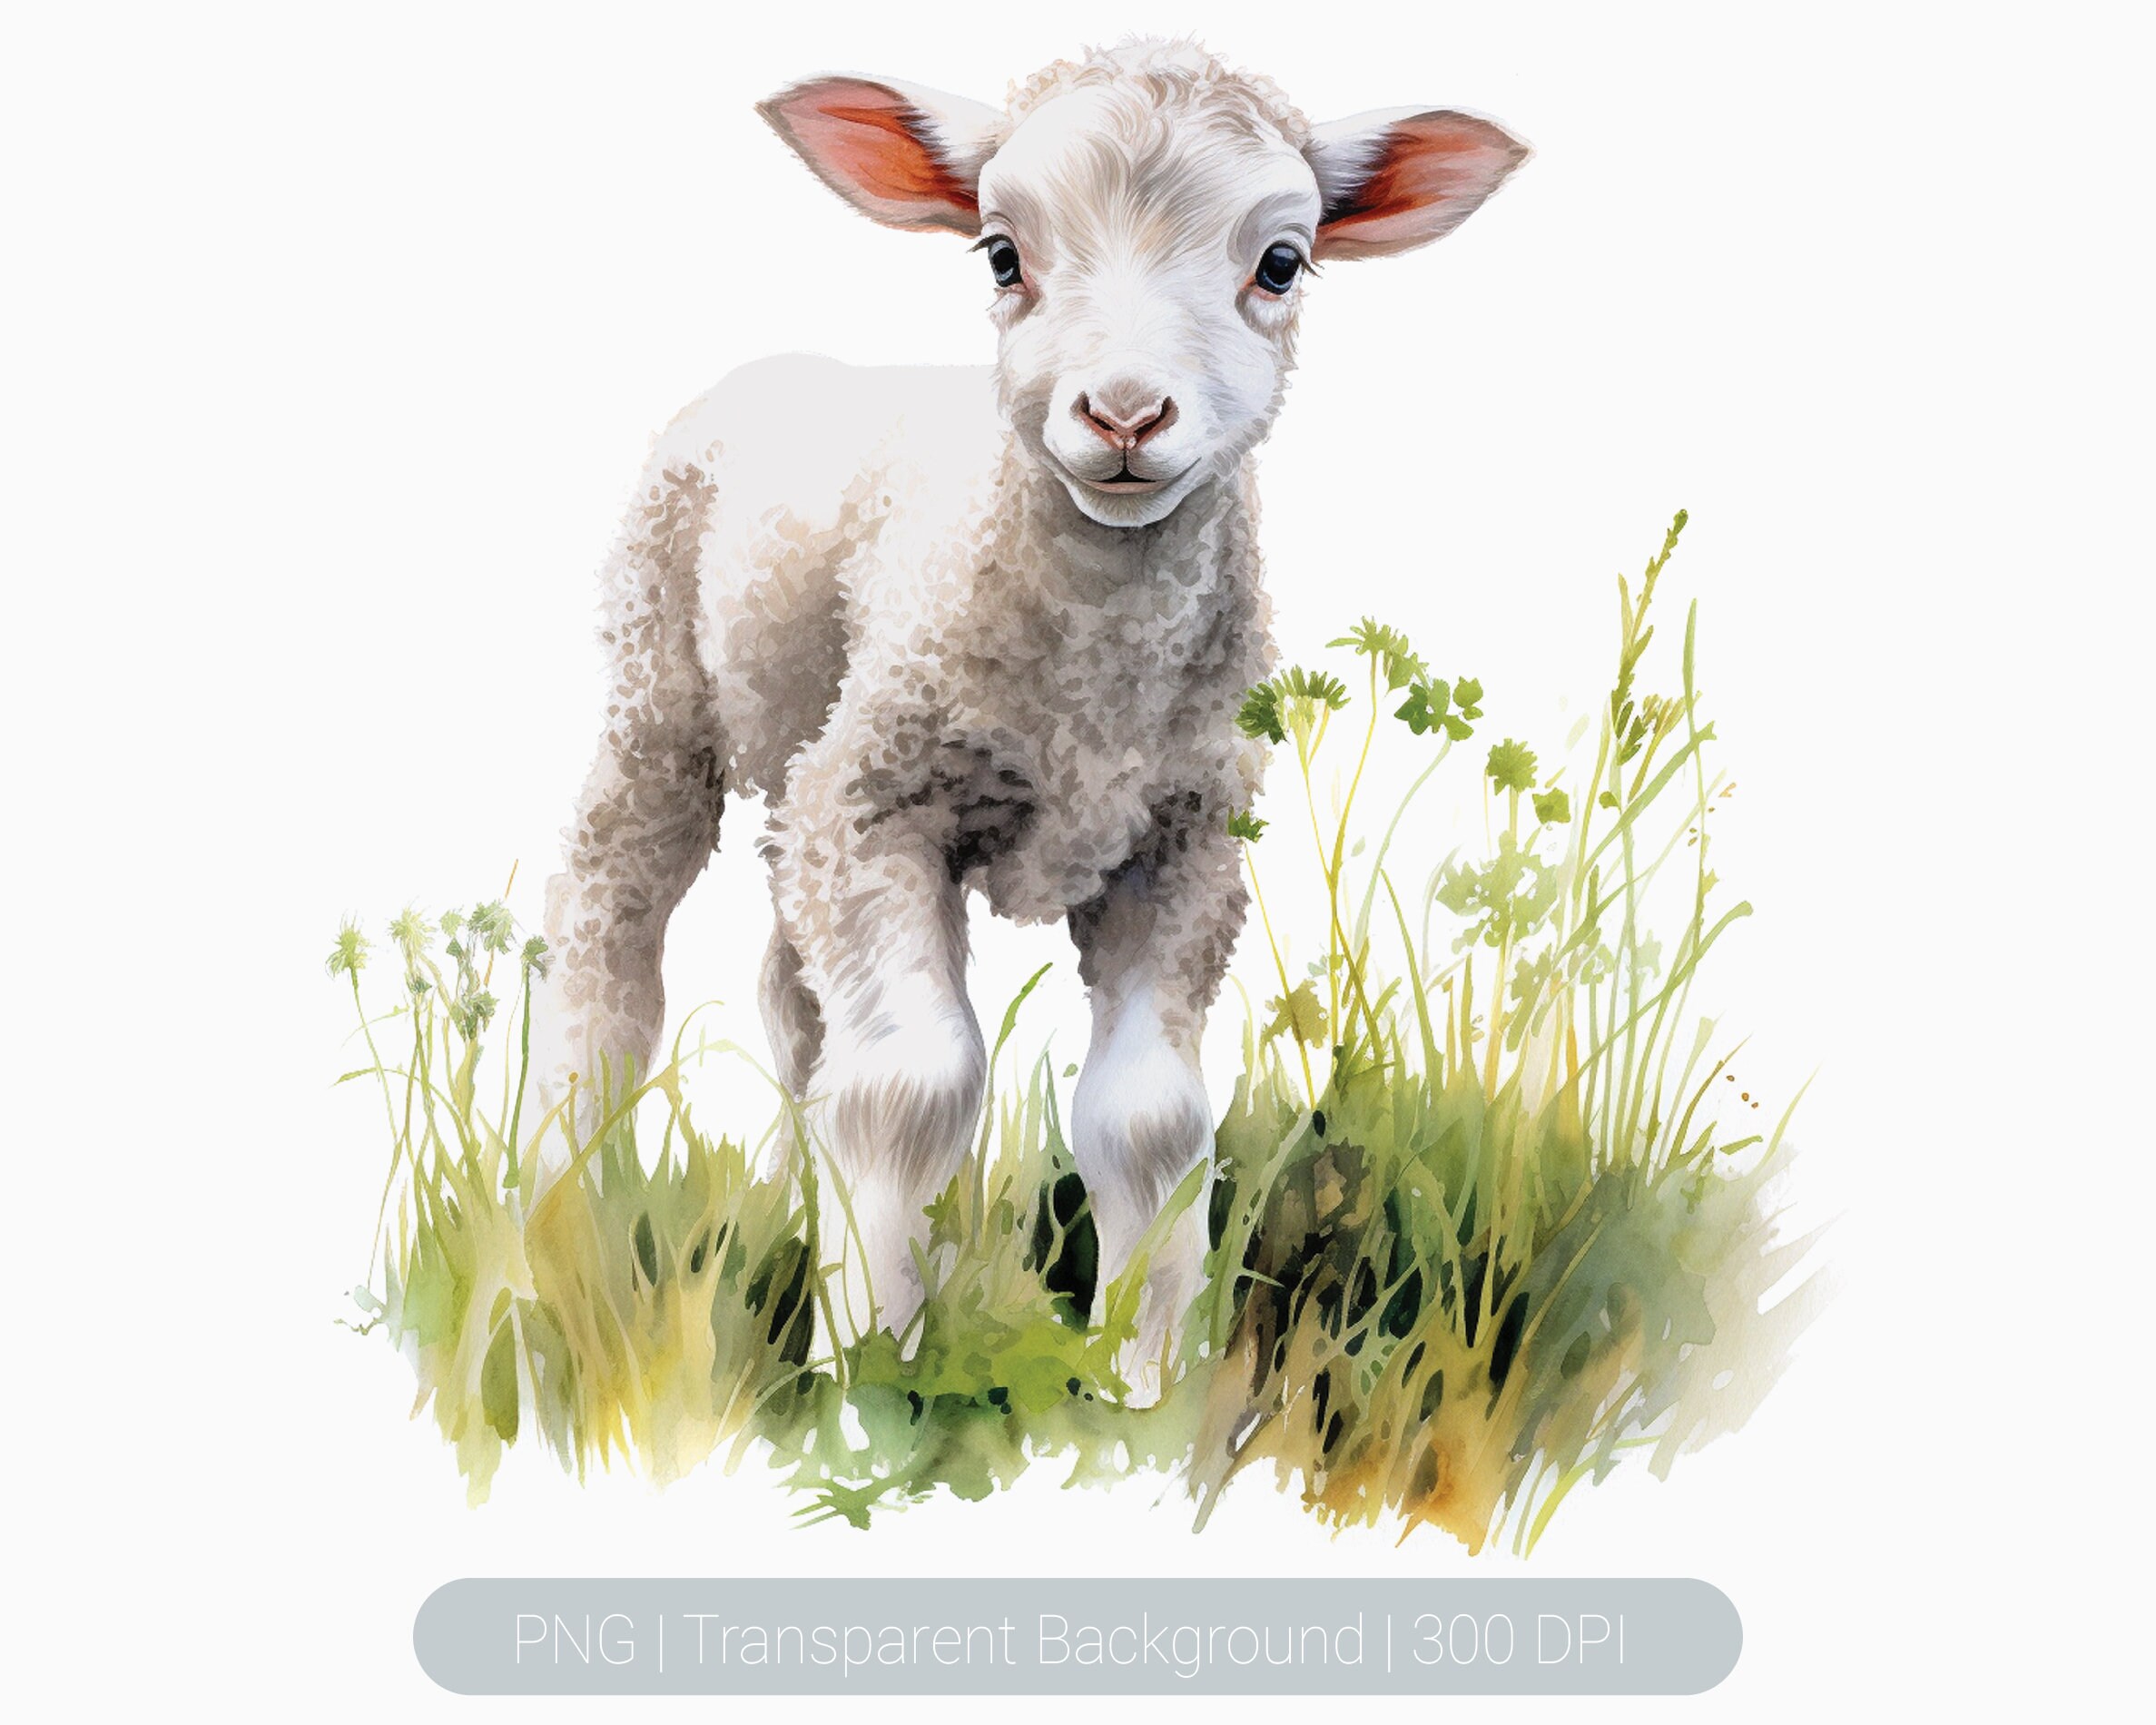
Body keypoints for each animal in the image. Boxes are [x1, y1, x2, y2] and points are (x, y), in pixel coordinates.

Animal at [529, 37, 1526, 1391]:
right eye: (1002, 254)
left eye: (1280, 262)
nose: (1124, 415)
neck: (1092, 679)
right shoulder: (880, 803)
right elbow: (909, 1085)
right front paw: (874, 1376)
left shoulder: (1181, 844)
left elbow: (1148, 1122)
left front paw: (1141, 1381)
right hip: (664, 693)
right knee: (608, 928)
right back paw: (562, 1207)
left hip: (805, 766)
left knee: (794, 1007)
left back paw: (790, 1204)